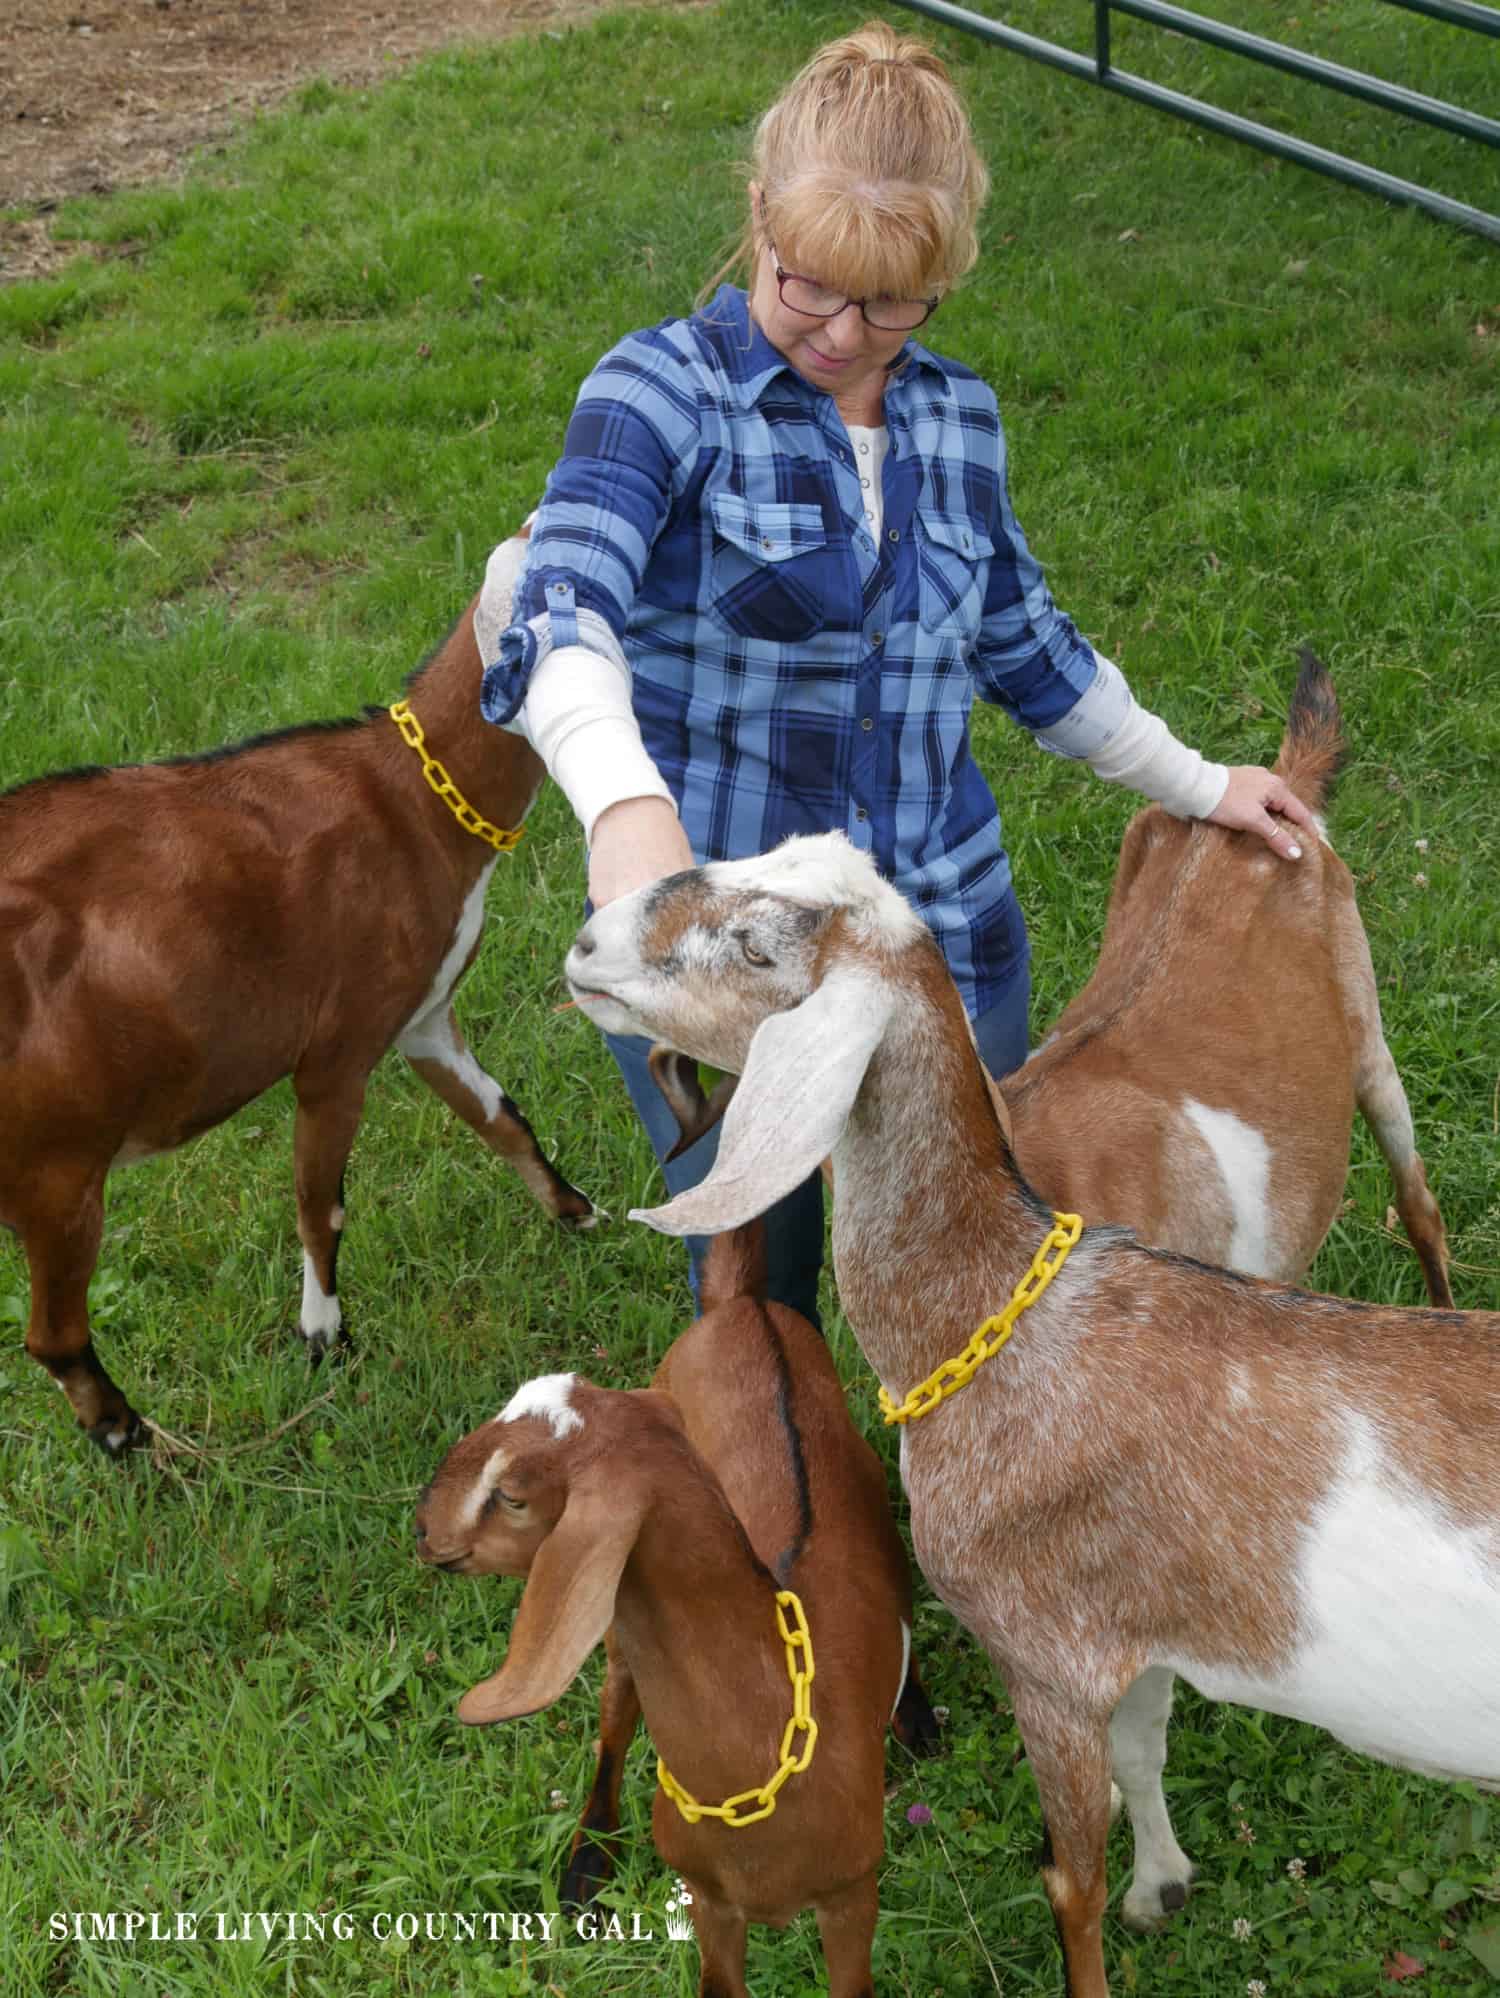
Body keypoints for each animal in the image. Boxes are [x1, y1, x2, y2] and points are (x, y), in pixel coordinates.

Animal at [0, 526, 592, 1456]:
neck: (414, 800)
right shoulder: (336, 1053)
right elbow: (322, 1206)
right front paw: (325, 1338)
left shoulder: (424, 1016)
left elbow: (502, 1118)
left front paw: (576, 1212)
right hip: (57, 1169)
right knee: (54, 1336)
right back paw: (130, 1437)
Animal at [416, 1056, 934, 1998]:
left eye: (514, 1497)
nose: (421, 1527)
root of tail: (742, 1306)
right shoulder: (708, 1901)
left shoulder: (854, 1898)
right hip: (618, 1639)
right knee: (614, 1718)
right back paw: (587, 1863)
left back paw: (915, 1716)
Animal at [562, 830, 1499, 1998]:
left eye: (756, 947)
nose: (584, 943)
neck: (1002, 1315)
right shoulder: (1132, 1633)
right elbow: (1145, 1758)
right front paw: (1164, 1887)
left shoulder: (1044, 1655)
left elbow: (1069, 1887)